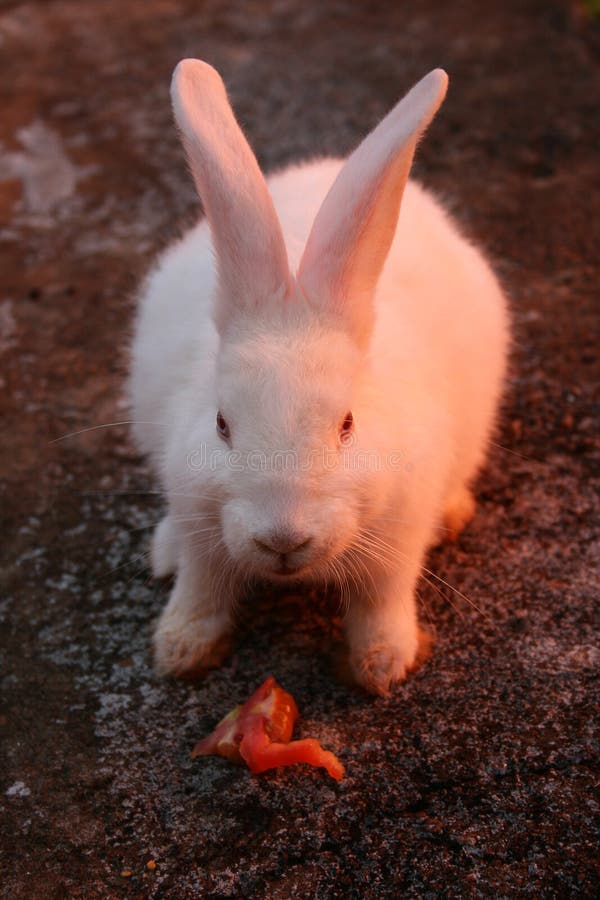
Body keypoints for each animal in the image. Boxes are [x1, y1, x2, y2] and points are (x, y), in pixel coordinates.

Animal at [129, 59, 509, 696]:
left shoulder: (398, 533)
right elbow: (201, 590)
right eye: (222, 424)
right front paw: (179, 651)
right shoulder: (198, 513)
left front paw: (382, 665)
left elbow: (381, 601)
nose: (282, 540)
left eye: (347, 425)